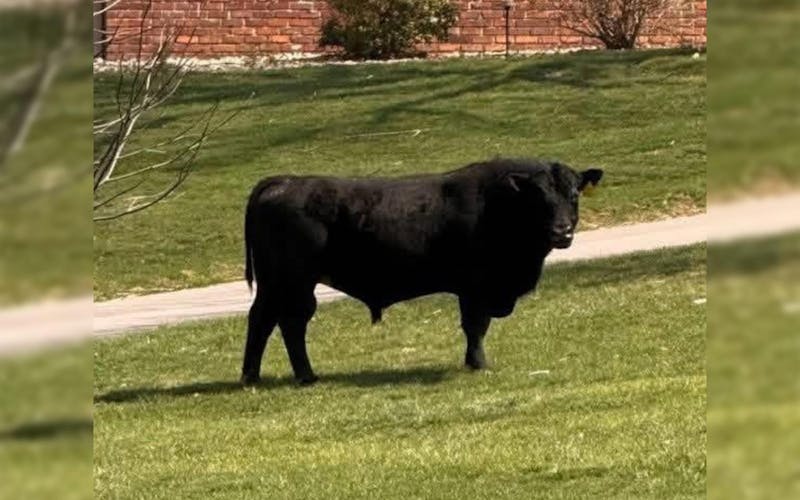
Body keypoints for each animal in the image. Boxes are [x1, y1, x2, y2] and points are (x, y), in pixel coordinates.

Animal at [240, 158, 603, 385]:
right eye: (538, 198)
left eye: (573, 194)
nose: (562, 231)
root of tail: (286, 182)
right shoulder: (475, 287)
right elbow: (475, 326)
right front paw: (478, 364)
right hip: (294, 282)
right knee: (290, 323)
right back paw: (305, 376)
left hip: (275, 283)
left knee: (262, 320)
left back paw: (251, 376)